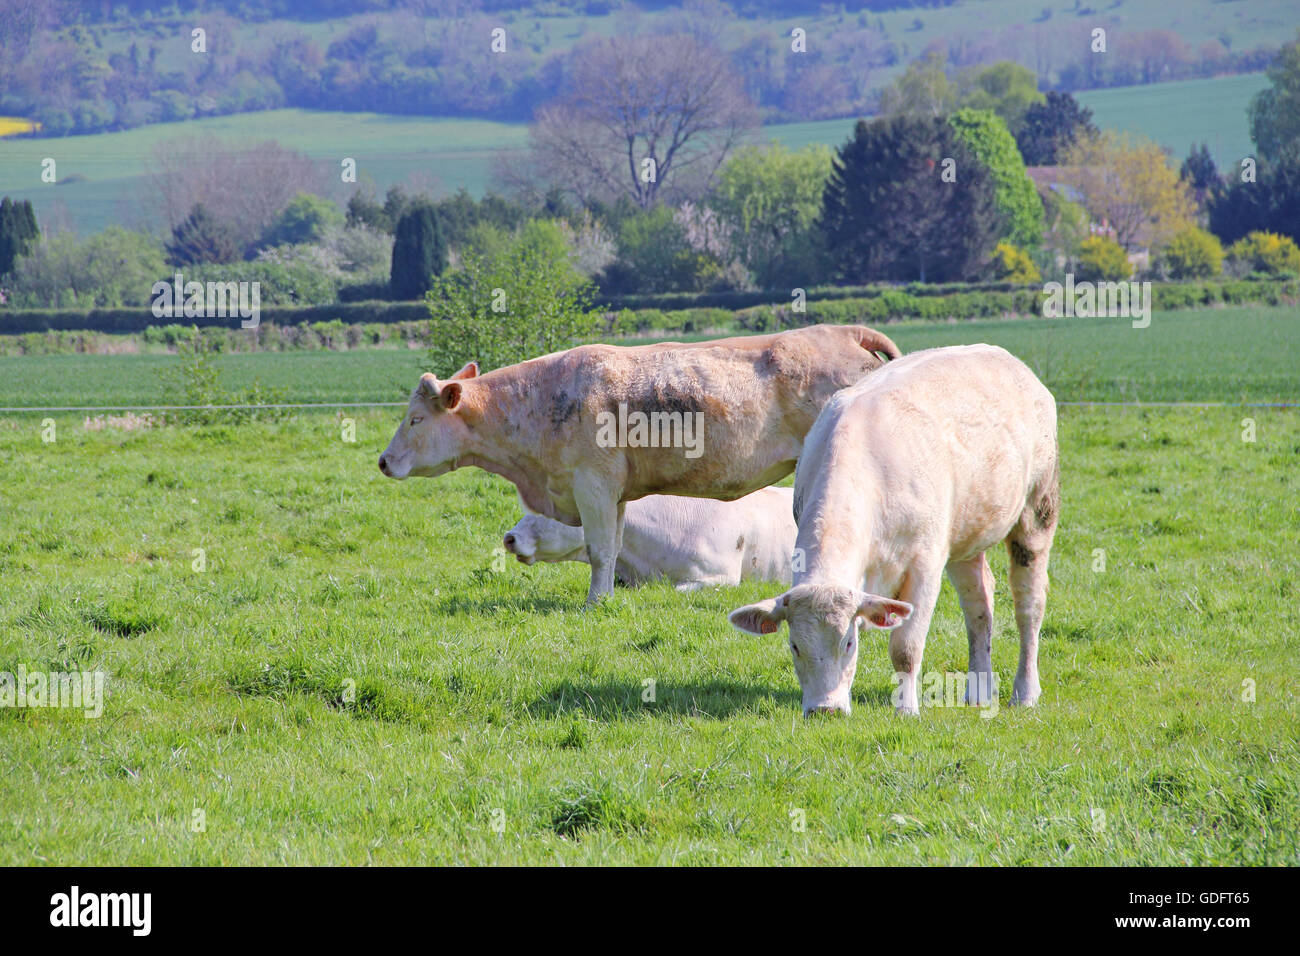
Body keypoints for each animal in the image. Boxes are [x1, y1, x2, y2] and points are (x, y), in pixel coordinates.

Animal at [728, 345, 1059, 718]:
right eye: (795, 646)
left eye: (849, 642)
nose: (825, 709)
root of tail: (1006, 358)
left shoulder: (925, 565)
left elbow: (906, 647)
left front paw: (907, 709)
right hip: (965, 535)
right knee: (979, 605)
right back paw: (978, 690)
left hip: (1037, 508)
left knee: (1029, 603)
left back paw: (1025, 692)